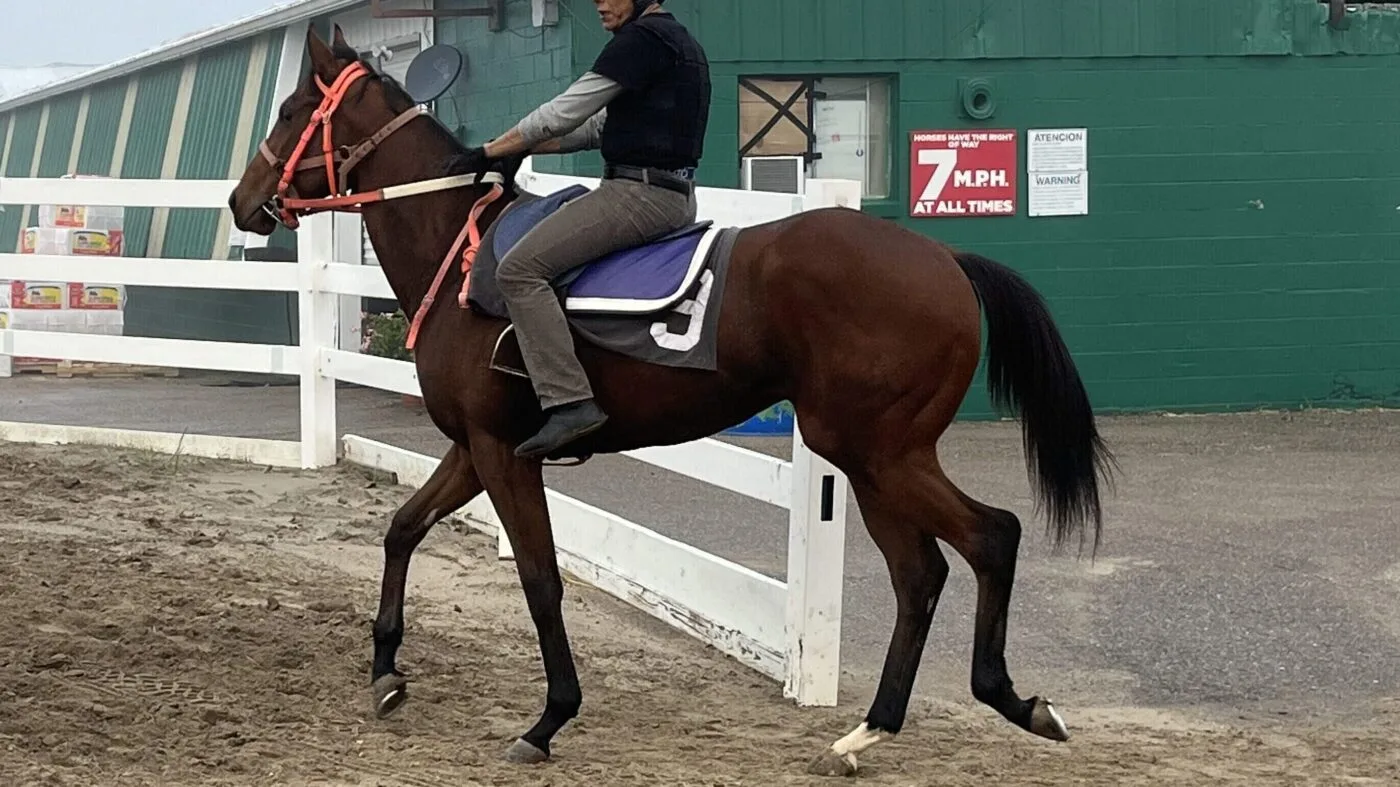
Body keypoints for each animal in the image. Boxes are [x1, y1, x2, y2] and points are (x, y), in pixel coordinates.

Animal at [229, 25, 1115, 778]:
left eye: (291, 111)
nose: (242, 201)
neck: (462, 251)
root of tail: (945, 259)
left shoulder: (501, 452)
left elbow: (540, 579)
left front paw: (549, 718)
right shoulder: (472, 449)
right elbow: (403, 527)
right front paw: (385, 667)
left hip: (878, 451)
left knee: (990, 537)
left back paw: (1010, 700)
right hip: (873, 459)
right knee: (920, 572)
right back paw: (872, 728)